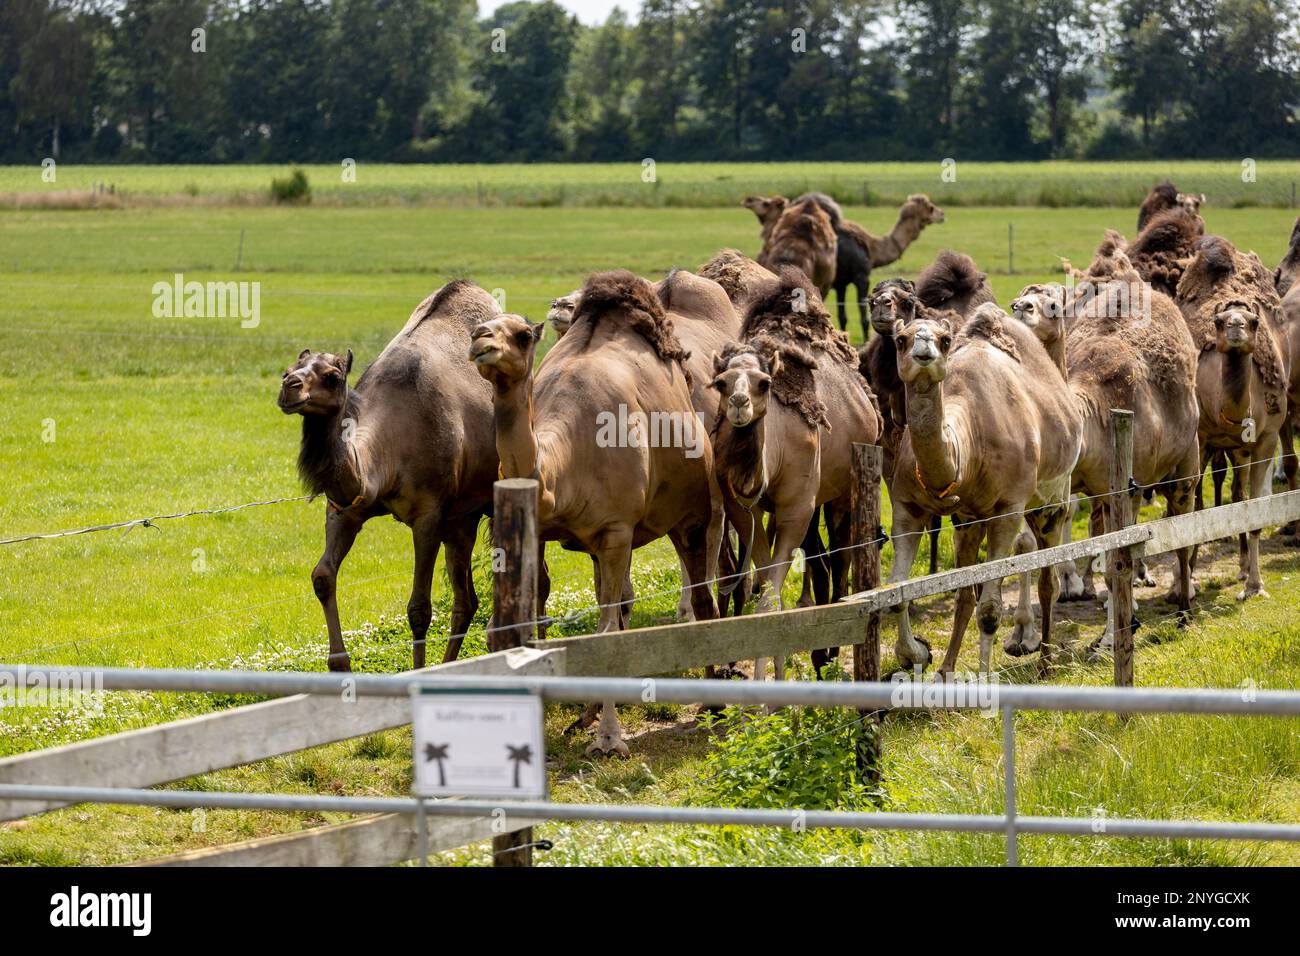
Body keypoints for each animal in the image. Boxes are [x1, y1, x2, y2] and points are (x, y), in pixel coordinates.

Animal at [278, 281, 499, 671]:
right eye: (290, 368)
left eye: (333, 377)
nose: (289, 386)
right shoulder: (345, 508)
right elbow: (322, 577)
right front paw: (339, 664)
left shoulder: (429, 514)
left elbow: (419, 609)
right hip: (463, 518)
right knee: (466, 599)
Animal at [469, 270, 720, 756]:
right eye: (482, 326)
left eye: (523, 335)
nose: (479, 339)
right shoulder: (541, 531)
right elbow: (515, 628)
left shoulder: (617, 531)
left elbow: (609, 634)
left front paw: (610, 740)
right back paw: (585, 714)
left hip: (696, 513)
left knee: (703, 596)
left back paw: (716, 700)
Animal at [888, 303, 1083, 675]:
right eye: (900, 339)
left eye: (945, 340)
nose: (924, 349)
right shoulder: (907, 508)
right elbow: (895, 595)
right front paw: (919, 655)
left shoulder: (1007, 508)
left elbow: (991, 611)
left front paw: (983, 677)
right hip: (972, 520)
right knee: (966, 595)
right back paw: (947, 669)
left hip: (1052, 499)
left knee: (1048, 579)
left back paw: (1046, 660)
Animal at [1011, 238, 1201, 649]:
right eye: (1018, 298)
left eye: (1053, 304)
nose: (1021, 308)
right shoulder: (1068, 484)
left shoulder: (1123, 487)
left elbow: (1118, 562)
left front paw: (1111, 639)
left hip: (1185, 461)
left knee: (1181, 523)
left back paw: (1183, 607)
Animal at [1177, 235, 1290, 600]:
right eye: (1217, 322)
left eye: (1254, 322)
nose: (1236, 327)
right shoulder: (1199, 441)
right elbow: (1192, 511)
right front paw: (1184, 584)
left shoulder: (1265, 440)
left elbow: (1253, 509)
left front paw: (1254, 584)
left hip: (1242, 449)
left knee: (1239, 494)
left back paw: (1241, 567)